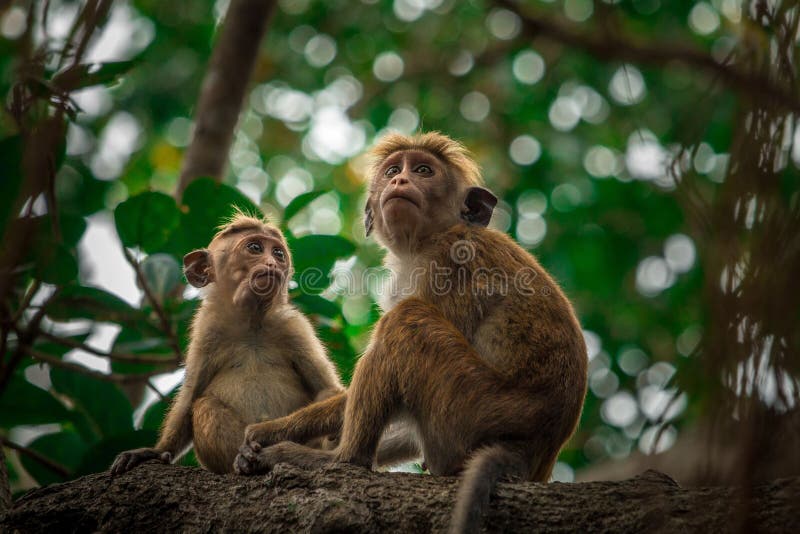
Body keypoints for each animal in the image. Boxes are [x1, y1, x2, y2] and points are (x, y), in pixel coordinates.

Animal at [110, 212, 343, 475]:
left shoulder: (294, 327)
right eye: (255, 248)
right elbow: (190, 397)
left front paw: (269, 434)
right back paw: (245, 461)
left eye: (278, 254)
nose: (272, 264)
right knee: (203, 405)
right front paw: (156, 451)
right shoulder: (207, 329)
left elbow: (330, 390)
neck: (251, 322)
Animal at [234, 132, 588, 534]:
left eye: (423, 170)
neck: (427, 240)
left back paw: (343, 459)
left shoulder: (449, 260)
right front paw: (268, 434)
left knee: (406, 320)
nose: (400, 181)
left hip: (473, 410)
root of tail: (533, 449)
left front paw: (286, 438)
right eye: (393, 171)